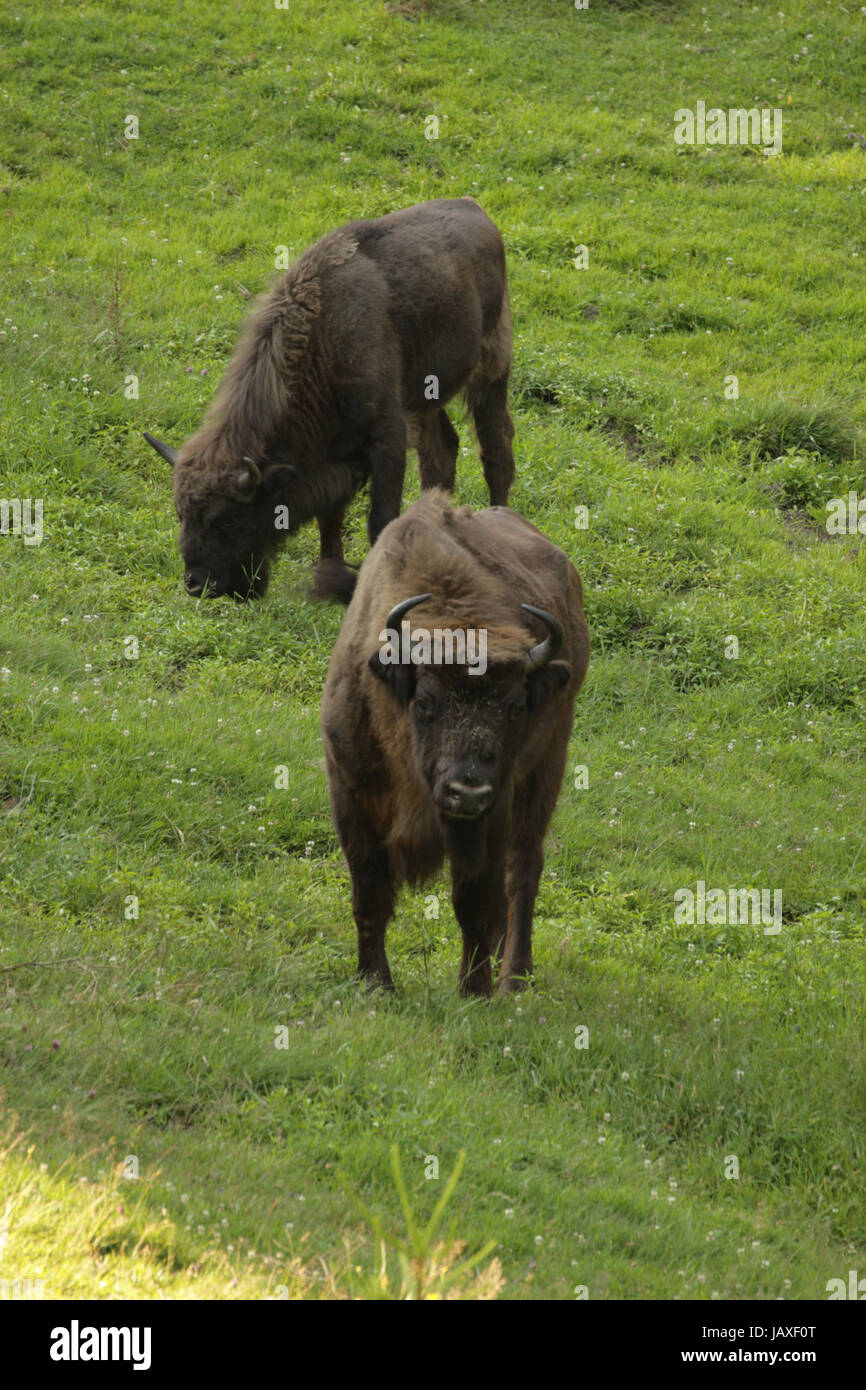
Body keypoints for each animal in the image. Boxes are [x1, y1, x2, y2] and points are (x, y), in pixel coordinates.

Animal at [143, 198, 515, 604]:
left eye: (227, 517)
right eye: (181, 514)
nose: (197, 584)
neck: (326, 336)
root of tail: (474, 208)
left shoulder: (387, 437)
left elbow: (380, 519)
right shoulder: (334, 454)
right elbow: (329, 518)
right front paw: (331, 575)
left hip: (492, 368)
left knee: (495, 452)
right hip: (427, 397)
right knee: (441, 451)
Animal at [321, 489, 589, 996]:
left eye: (515, 707)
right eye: (425, 700)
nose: (467, 791)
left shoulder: (491, 811)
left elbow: (473, 903)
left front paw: (474, 991)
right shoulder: (349, 791)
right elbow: (369, 893)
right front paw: (376, 984)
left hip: (548, 763)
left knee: (522, 869)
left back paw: (514, 979)